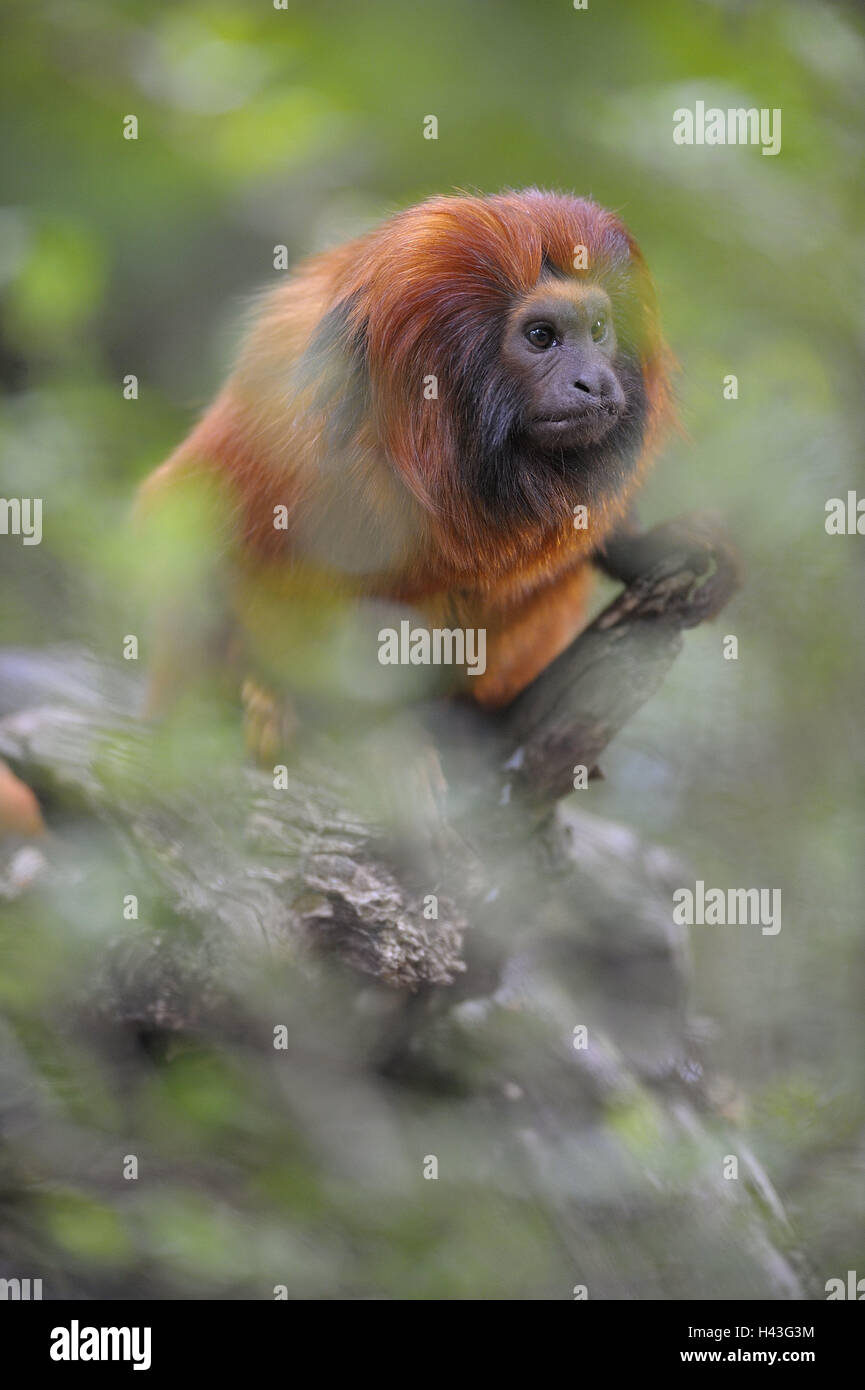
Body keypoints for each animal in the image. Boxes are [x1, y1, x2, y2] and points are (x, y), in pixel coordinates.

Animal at [137, 188, 729, 759]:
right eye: (542, 336)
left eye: (599, 329)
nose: (595, 381)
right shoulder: (280, 432)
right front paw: (287, 701)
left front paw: (644, 547)